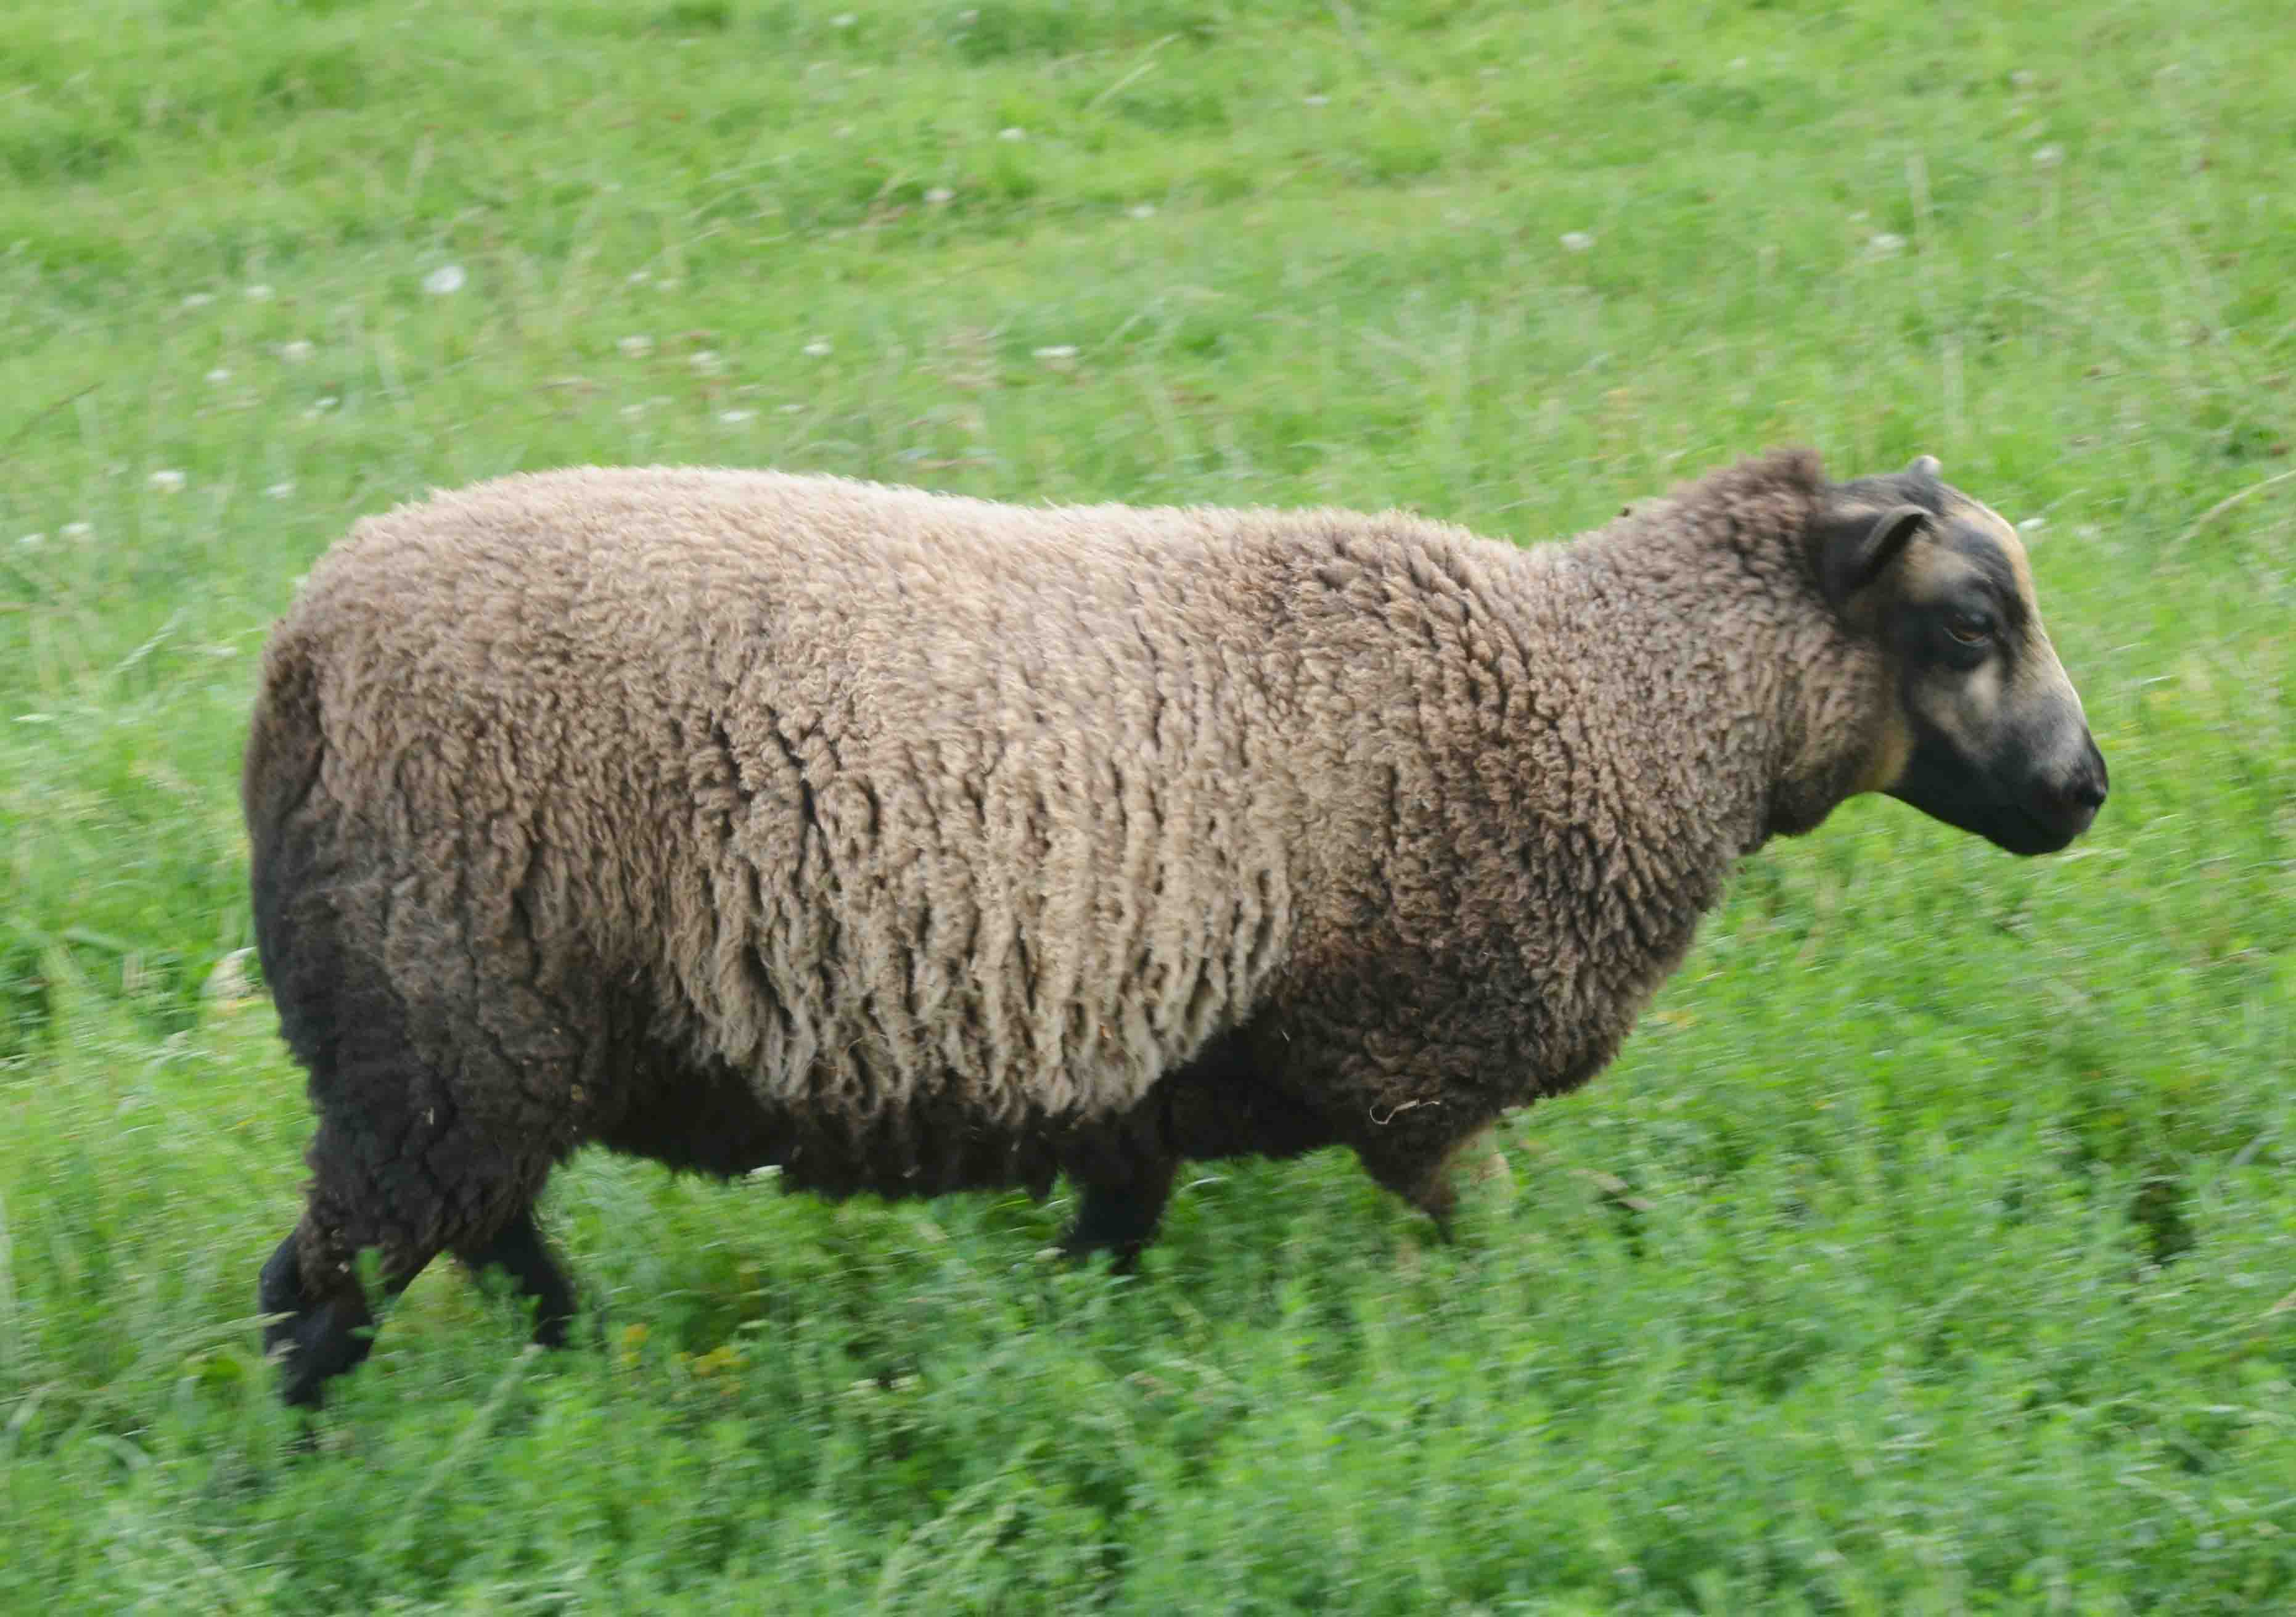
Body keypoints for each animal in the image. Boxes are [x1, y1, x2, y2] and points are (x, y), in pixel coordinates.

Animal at [245, 447, 2108, 1406]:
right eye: (1967, 622)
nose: (2087, 791)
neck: (1616, 694)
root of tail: (304, 650)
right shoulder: (1414, 1056)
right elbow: (1487, 1232)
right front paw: (1551, 1331)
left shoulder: (1136, 1086)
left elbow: (1112, 1238)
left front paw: (1082, 1361)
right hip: (444, 1025)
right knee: (318, 1286)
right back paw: (313, 1469)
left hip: (483, 1052)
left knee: (486, 1237)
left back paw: (584, 1375)